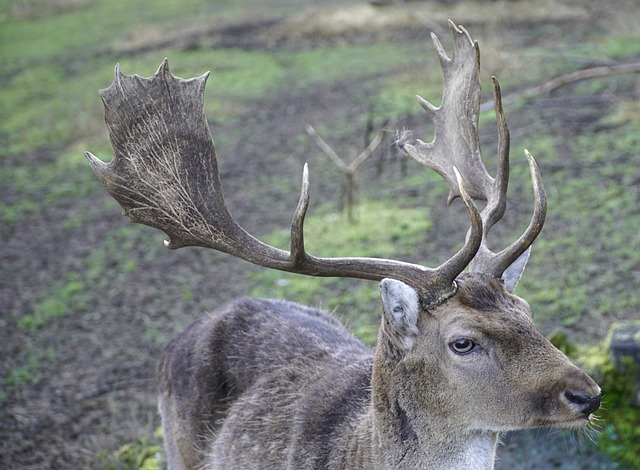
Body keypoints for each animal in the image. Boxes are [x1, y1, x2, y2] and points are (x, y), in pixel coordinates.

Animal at [86, 21, 601, 470]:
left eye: (526, 311)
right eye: (463, 342)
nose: (589, 394)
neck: (356, 454)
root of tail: (179, 339)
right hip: (177, 450)